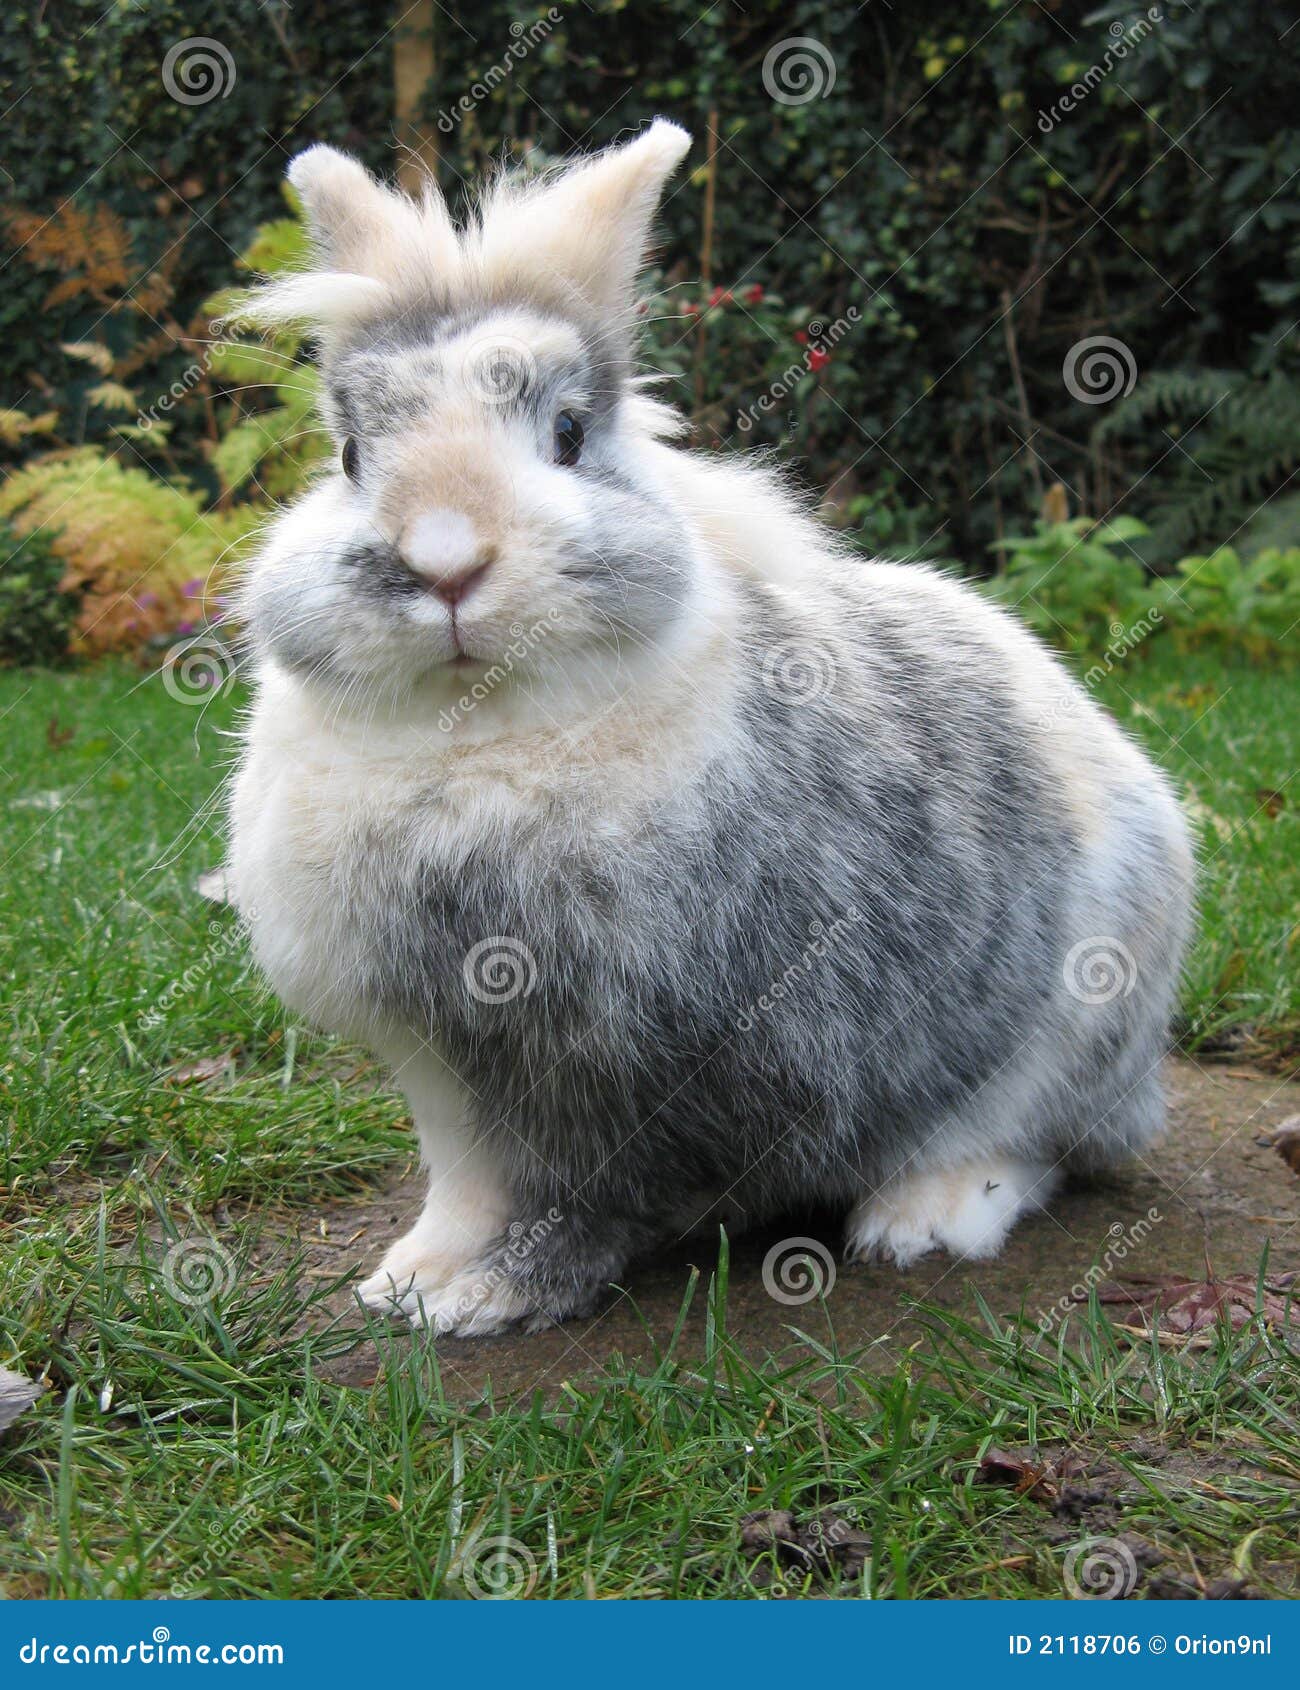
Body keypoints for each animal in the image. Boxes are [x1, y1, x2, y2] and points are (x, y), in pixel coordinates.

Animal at [227, 119, 1194, 1336]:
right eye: (352, 455)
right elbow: (467, 1180)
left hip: (1070, 1022)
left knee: (1029, 1141)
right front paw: (412, 1281)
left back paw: (923, 1218)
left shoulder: (613, 1062)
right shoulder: (441, 1065)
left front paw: (487, 1298)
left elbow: (573, 1194)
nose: (444, 560)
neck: (475, 739)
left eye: (567, 433)